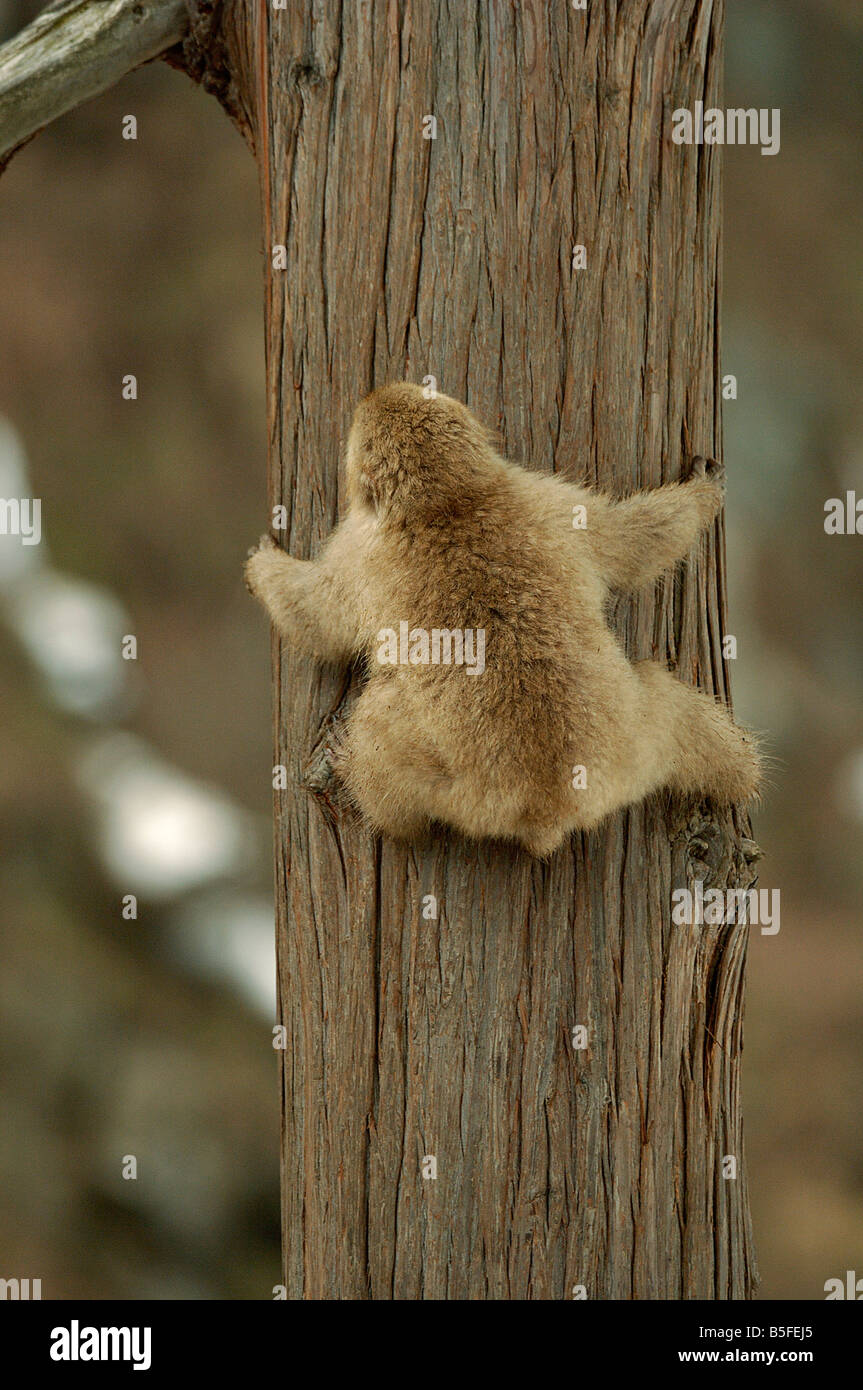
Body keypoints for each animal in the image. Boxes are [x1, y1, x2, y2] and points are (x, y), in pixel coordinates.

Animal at [245, 383, 761, 857]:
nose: (376, 392)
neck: (447, 503)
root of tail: (549, 808)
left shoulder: (361, 552)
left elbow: (315, 617)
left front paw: (260, 569)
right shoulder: (544, 499)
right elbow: (634, 541)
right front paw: (703, 494)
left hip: (459, 786)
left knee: (377, 736)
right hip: (639, 745)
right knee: (674, 708)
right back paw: (738, 774)